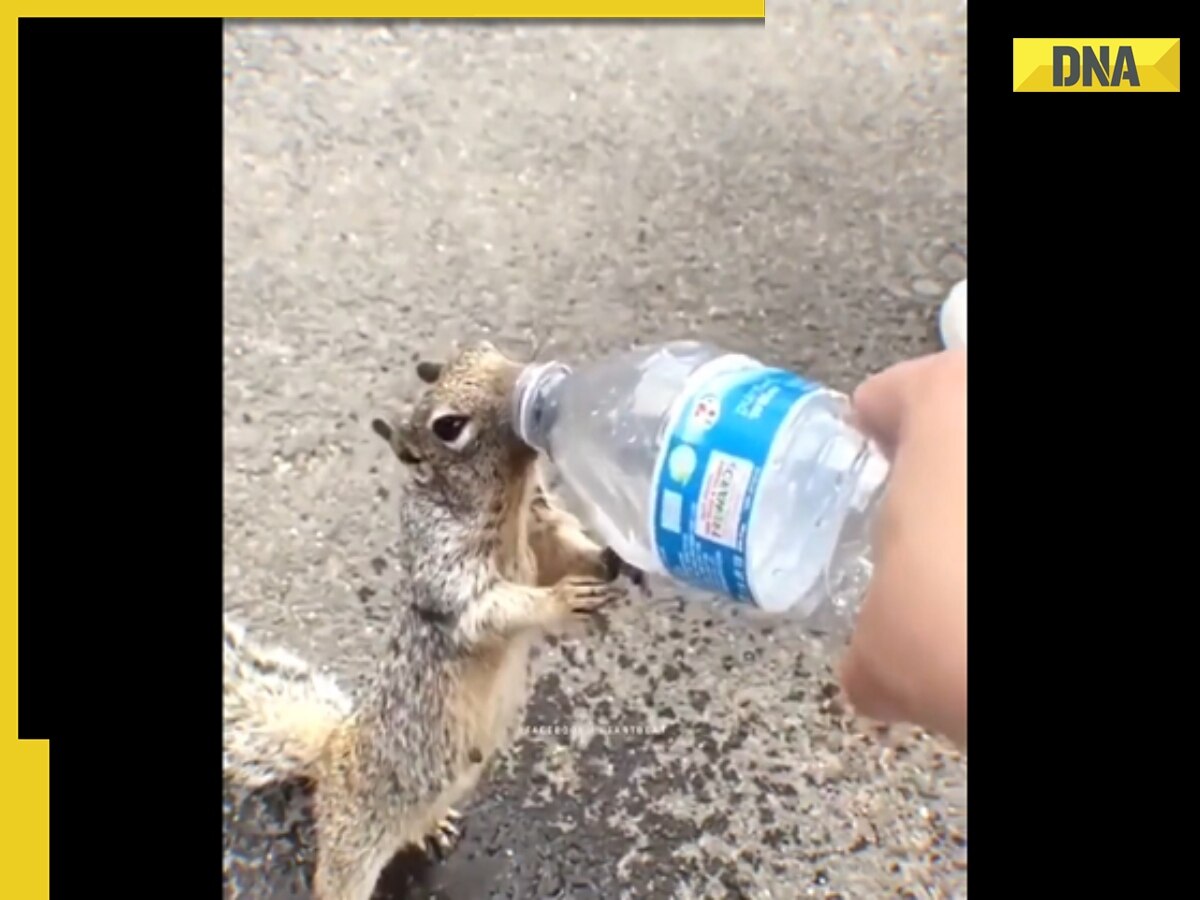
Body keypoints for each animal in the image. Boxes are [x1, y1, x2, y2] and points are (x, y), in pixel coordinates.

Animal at [224, 340, 646, 900]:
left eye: (483, 348)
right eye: (449, 427)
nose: (529, 380)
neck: (508, 504)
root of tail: (330, 752)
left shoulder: (542, 526)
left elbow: (566, 549)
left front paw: (614, 558)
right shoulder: (448, 570)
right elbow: (490, 609)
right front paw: (560, 601)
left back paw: (433, 827)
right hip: (352, 838)